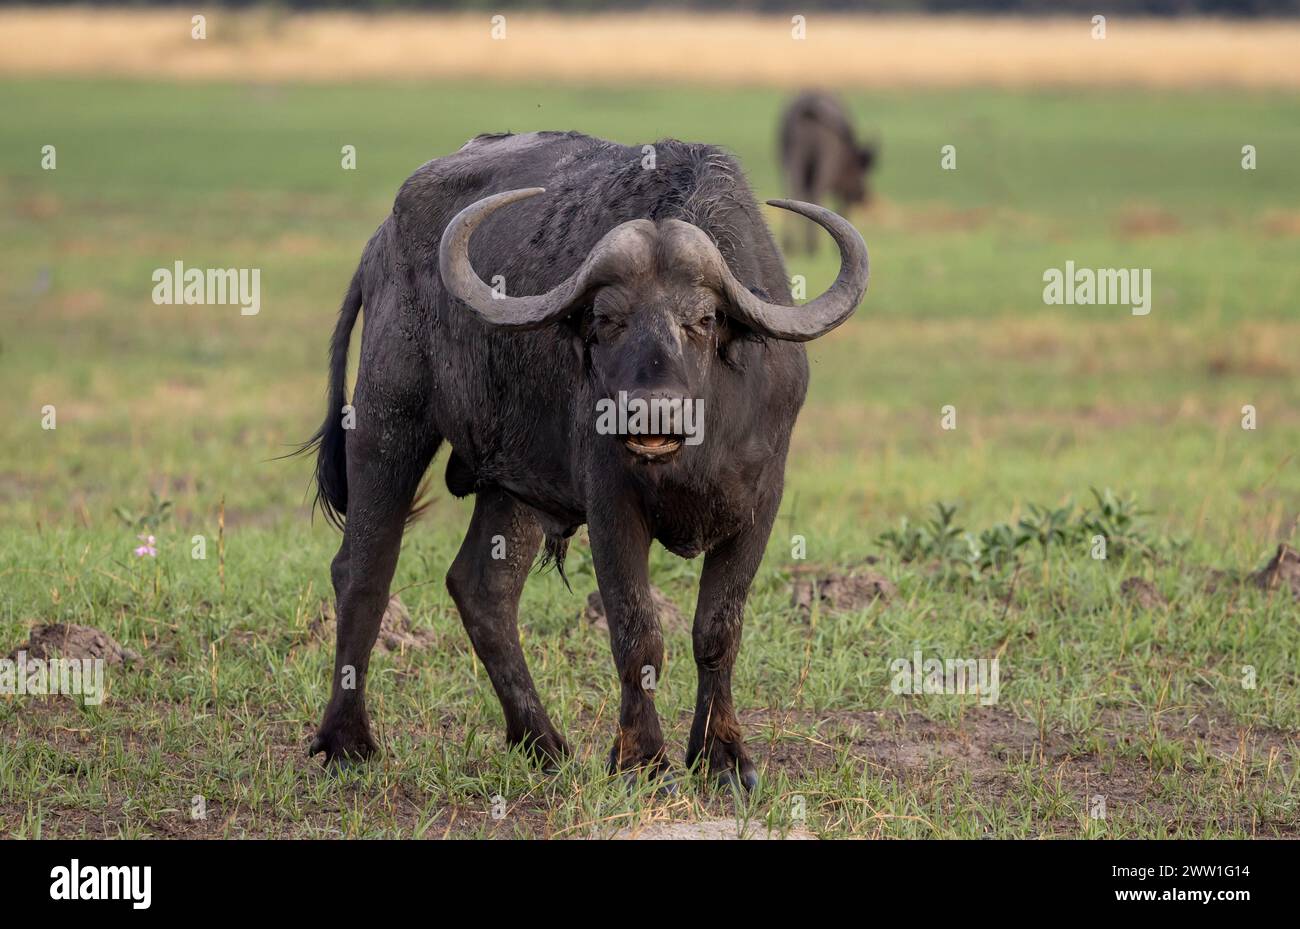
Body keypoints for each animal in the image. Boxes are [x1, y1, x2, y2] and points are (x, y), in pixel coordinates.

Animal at [304, 130, 869, 790]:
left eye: (703, 320)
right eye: (606, 318)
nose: (652, 415)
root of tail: (382, 242)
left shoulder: (759, 505)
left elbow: (718, 631)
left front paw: (723, 757)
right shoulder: (610, 503)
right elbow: (636, 632)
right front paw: (641, 759)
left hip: (513, 485)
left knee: (483, 589)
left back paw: (541, 741)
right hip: (387, 421)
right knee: (362, 572)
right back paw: (346, 740)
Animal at [778, 90, 878, 253]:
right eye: (861, 171)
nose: (862, 196)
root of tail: (810, 104)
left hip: (792, 160)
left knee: (793, 189)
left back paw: (790, 243)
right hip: (824, 163)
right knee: (816, 191)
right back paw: (813, 245)